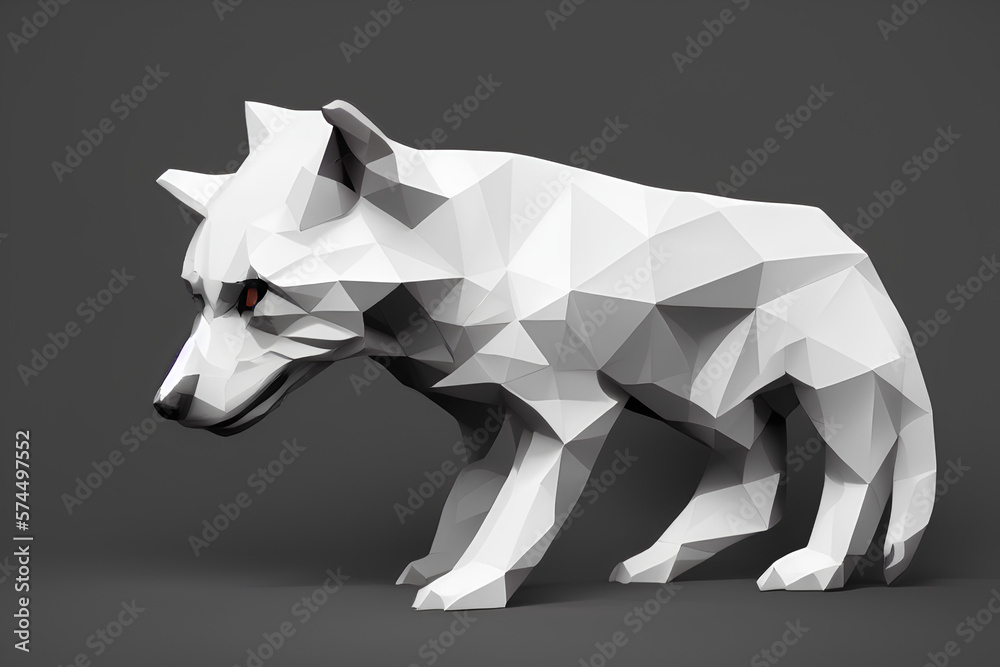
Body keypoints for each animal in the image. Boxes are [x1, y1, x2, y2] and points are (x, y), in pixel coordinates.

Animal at [153, 100, 936, 610]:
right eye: (197, 296)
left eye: (255, 295)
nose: (165, 405)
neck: (464, 255)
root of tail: (858, 251)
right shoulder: (492, 418)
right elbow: (467, 505)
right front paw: (441, 565)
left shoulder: (569, 418)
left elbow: (512, 520)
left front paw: (475, 586)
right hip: (692, 401)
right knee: (756, 489)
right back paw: (657, 562)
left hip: (827, 405)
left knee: (858, 478)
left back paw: (817, 567)